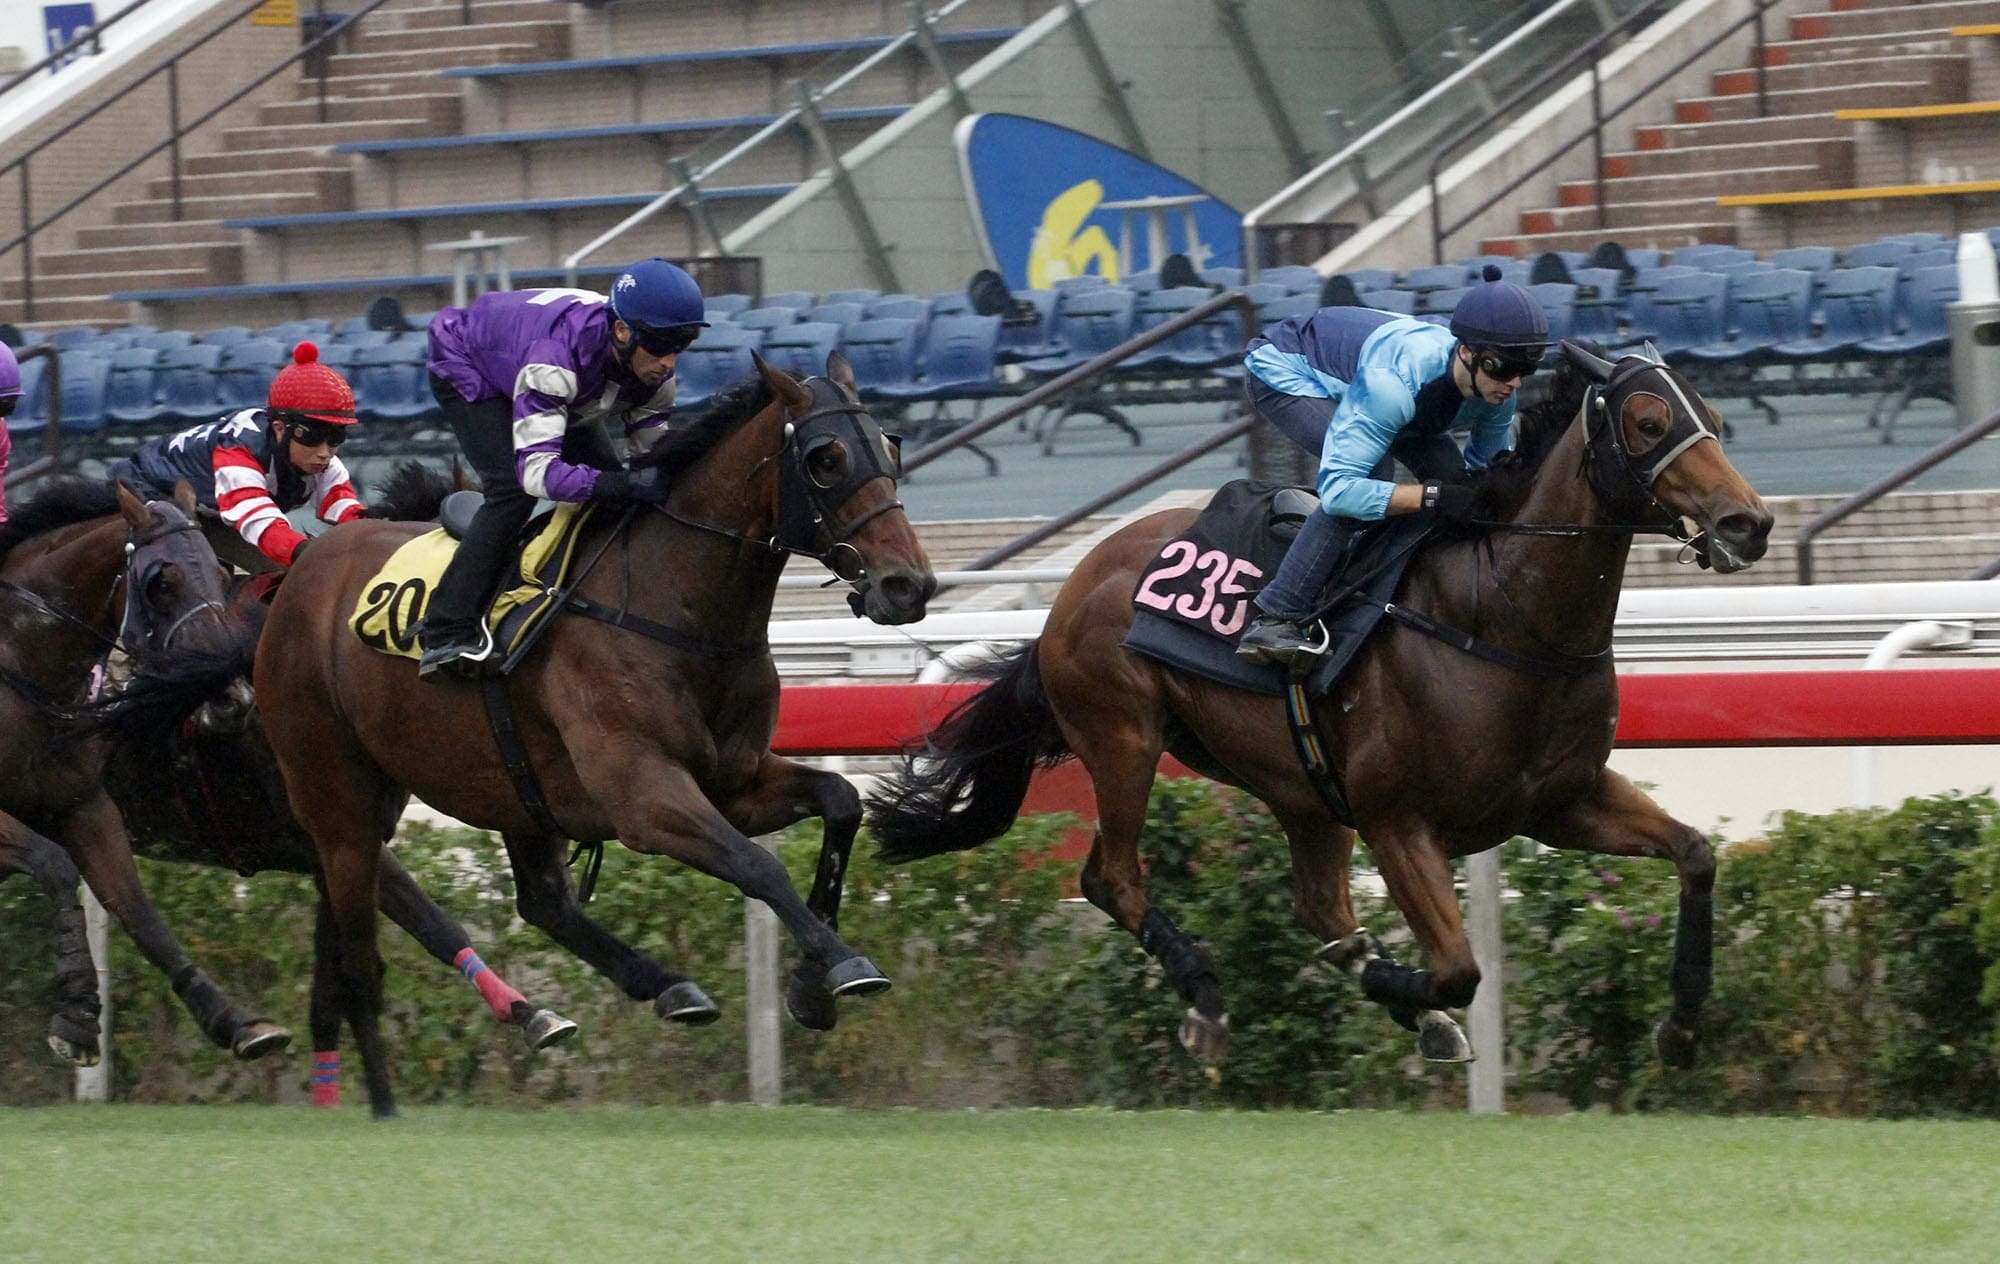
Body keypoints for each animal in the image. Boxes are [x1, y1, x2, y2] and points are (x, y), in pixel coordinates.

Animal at [0, 478, 287, 1062]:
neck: (21, 660)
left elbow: (139, 913)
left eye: (222, 572)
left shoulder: (83, 806)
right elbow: (54, 864)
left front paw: (234, 1021)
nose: (231, 697)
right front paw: (78, 1010)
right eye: (161, 583)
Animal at [89, 462, 579, 1106]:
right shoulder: (334, 830)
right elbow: (433, 924)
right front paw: (533, 1014)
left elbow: (333, 984)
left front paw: (330, 1096)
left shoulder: (338, 843)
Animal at [238, 351, 935, 1116]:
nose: (909, 586)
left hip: (511, 788)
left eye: (890, 450)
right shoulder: (643, 797)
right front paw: (841, 965)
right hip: (339, 800)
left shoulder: (736, 780)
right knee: (362, 954)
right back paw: (384, 1102)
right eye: (826, 458)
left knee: (543, 901)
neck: (678, 609)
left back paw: (666, 989)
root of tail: (304, 567)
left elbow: (841, 802)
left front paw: (811, 988)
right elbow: (758, 866)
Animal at [868, 342, 1774, 1068]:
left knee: (1315, 904)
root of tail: (1080, 578)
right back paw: (1207, 997)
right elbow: (1457, 969)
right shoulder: (1399, 820)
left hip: (1298, 784)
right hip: (1123, 736)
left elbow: (1696, 855)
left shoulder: (1560, 800)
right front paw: (1405, 989)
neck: (1501, 616)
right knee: (1113, 878)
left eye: (1715, 417)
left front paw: (1681, 1025)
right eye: (1650, 422)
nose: (1749, 522)